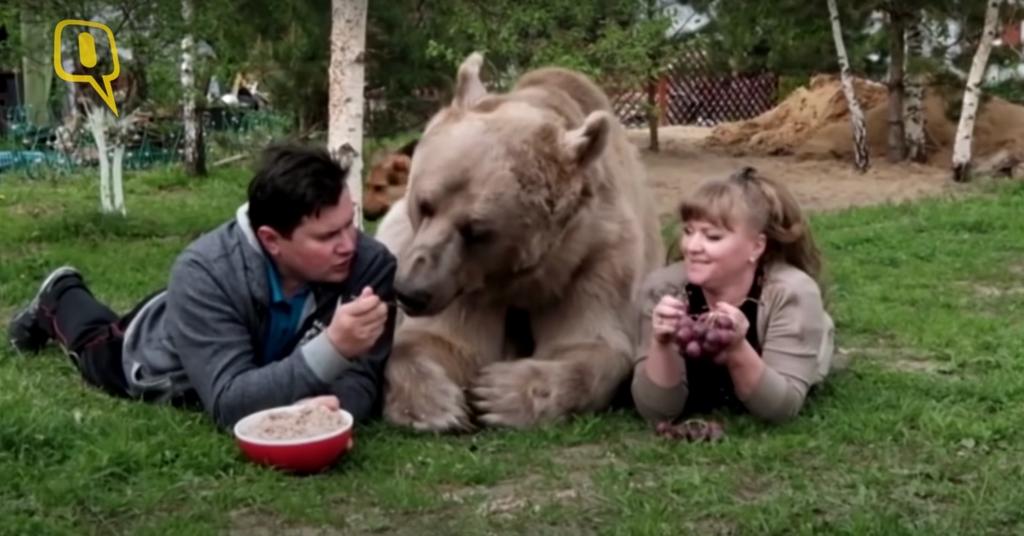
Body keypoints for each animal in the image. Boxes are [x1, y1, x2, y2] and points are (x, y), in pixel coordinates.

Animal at [375, 52, 664, 432]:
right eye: (424, 204)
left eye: (476, 230)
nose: (412, 291)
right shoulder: (465, 283)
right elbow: (442, 340)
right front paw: (437, 404)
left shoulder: (594, 257)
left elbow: (588, 341)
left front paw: (498, 394)